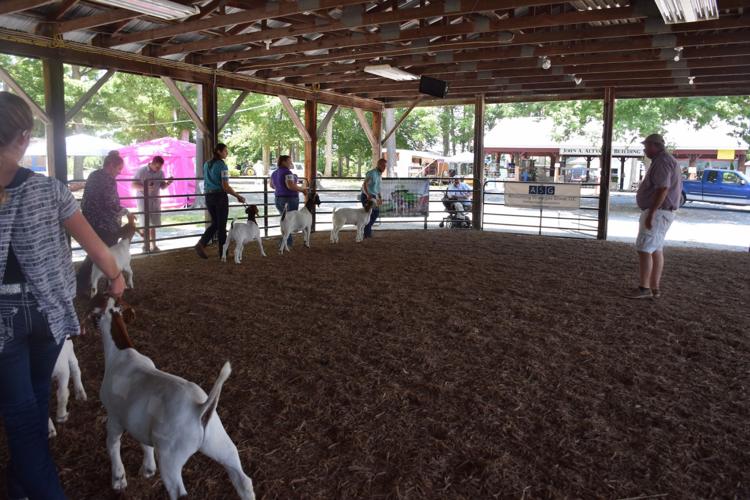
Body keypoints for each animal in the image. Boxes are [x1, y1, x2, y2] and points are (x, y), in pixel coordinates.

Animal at [89, 295, 255, 500]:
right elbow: (145, 444)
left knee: (179, 493)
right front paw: (148, 469)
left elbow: (112, 444)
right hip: (220, 442)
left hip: (171, 457)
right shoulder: (140, 422)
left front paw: (118, 479)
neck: (120, 353)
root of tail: (200, 409)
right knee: (243, 479)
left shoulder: (114, 416)